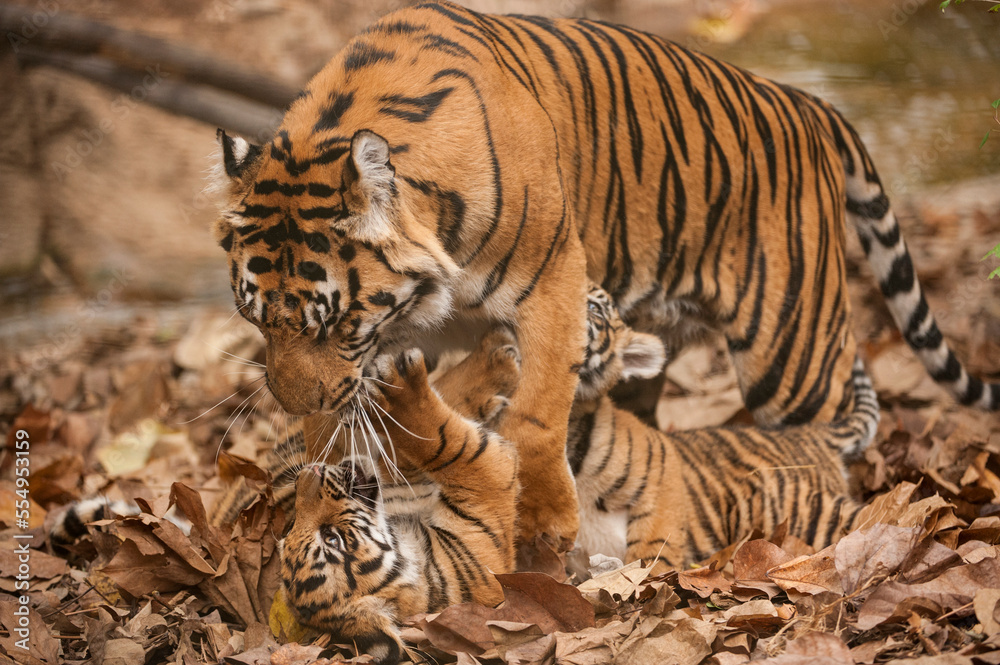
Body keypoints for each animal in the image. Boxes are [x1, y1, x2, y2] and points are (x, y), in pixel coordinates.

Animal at [569, 286, 879, 573]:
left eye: (595, 308)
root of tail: (808, 432)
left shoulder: (660, 465)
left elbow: (654, 544)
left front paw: (644, 577)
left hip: (808, 511)